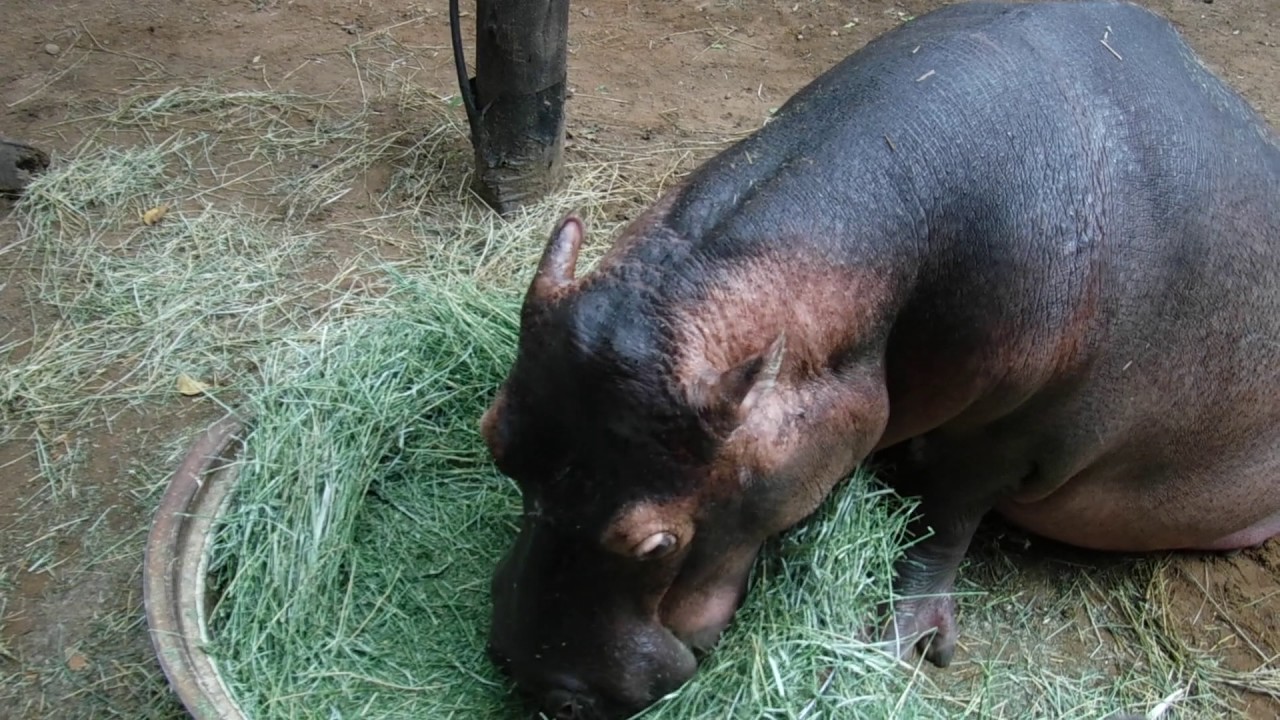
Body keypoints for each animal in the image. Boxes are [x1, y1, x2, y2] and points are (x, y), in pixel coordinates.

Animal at [480, 1, 1280, 718]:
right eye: (494, 441)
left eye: (654, 542)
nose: (537, 683)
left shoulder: (1012, 429)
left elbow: (948, 516)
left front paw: (897, 644)